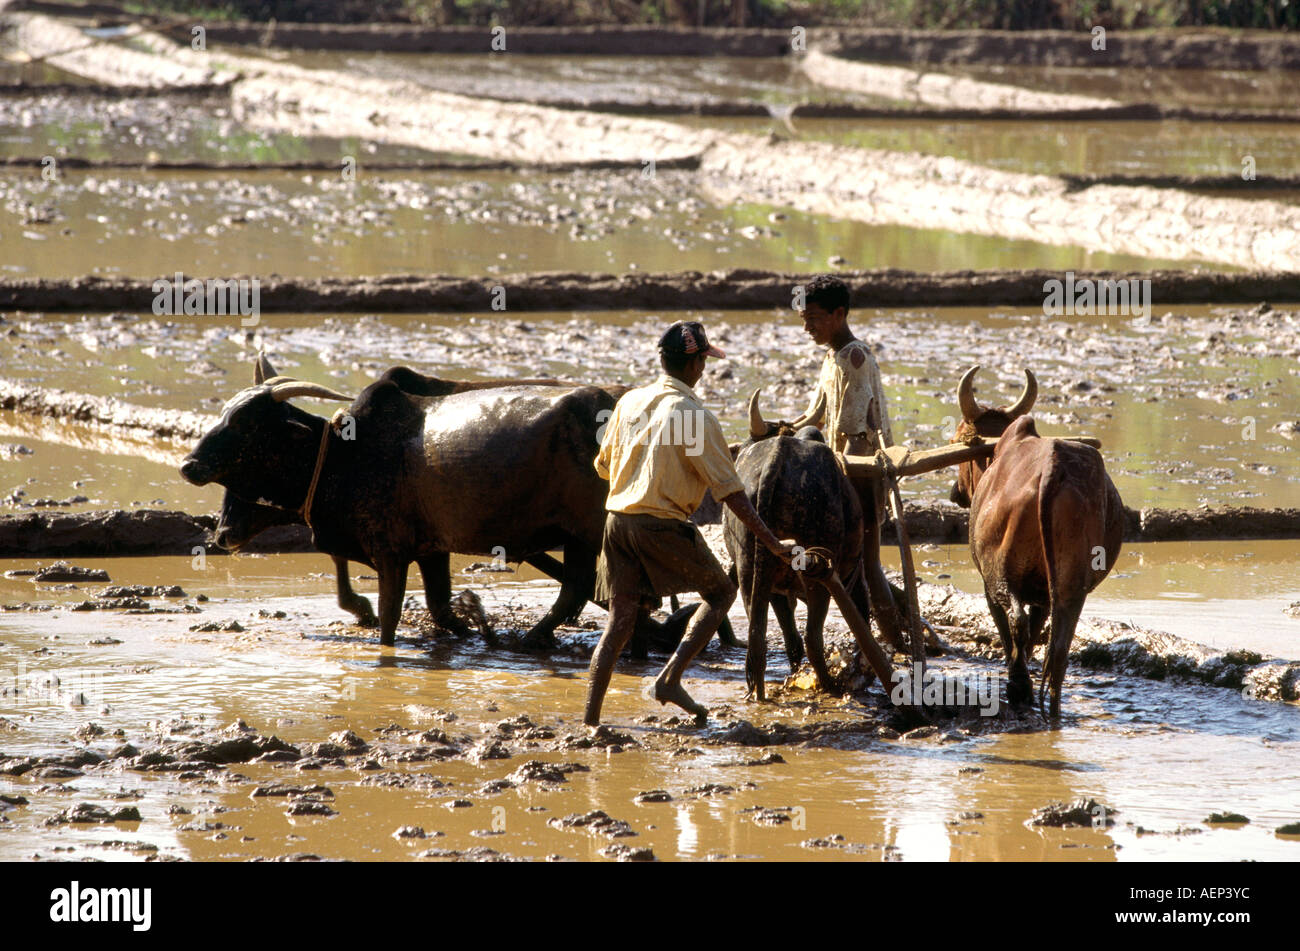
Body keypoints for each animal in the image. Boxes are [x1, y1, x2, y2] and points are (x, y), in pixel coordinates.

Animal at [949, 366, 1124, 715]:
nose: (956, 493)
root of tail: (1052, 469)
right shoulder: (1043, 592)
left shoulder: (990, 583)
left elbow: (1011, 631)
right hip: (1072, 587)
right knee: (1059, 649)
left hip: (1001, 576)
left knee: (1016, 620)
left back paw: (1020, 688)